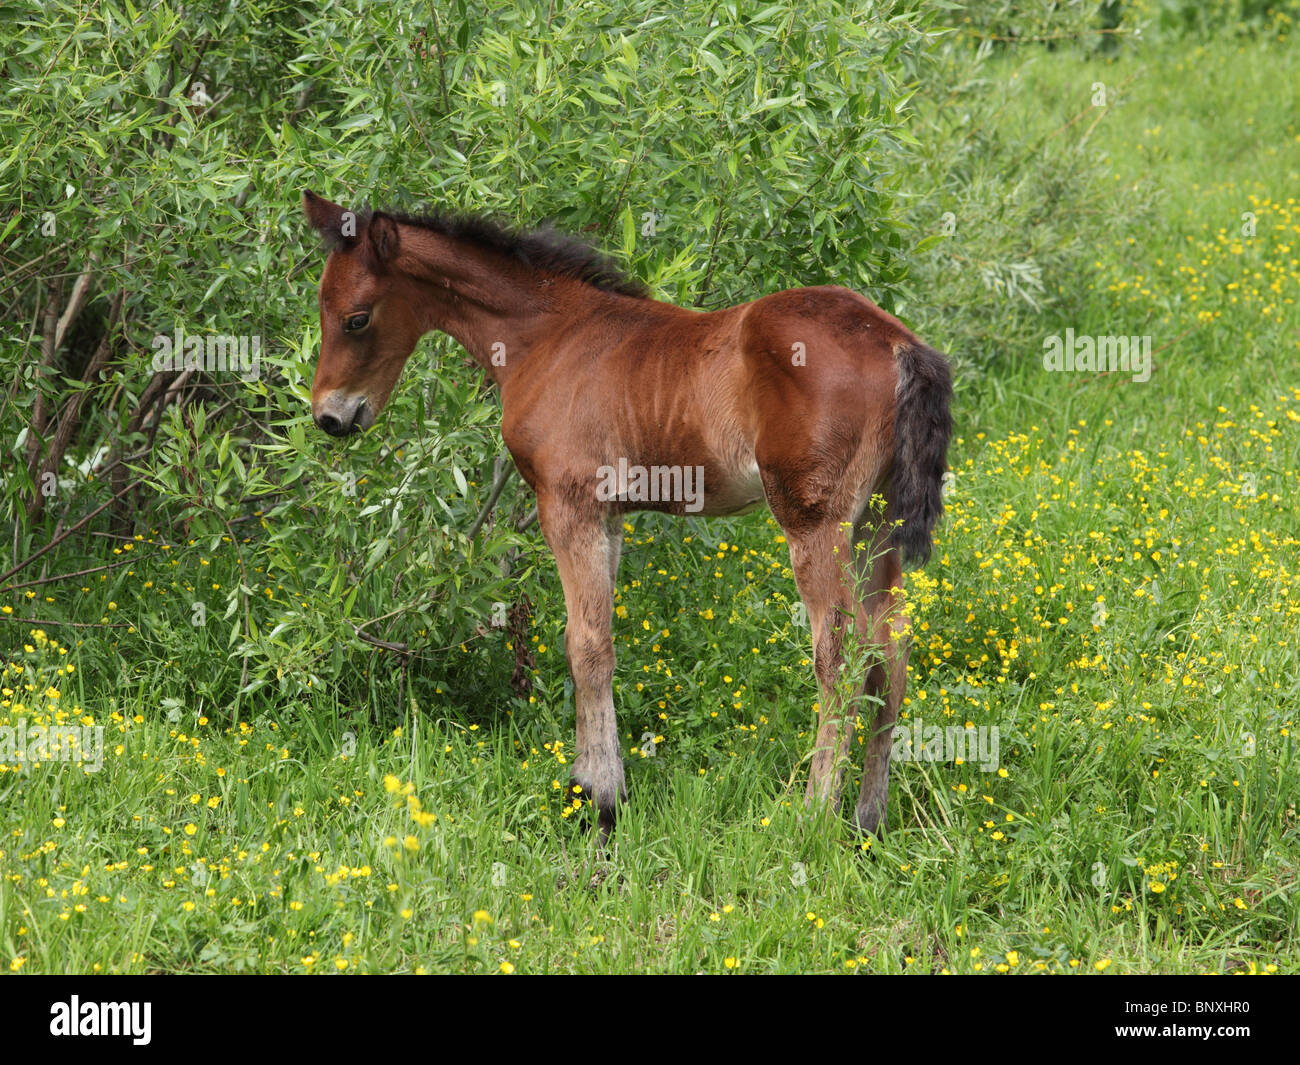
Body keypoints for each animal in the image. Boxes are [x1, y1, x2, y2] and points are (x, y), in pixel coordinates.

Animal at [302, 190, 952, 840]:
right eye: (322, 305)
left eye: (357, 318)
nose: (330, 417)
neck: (548, 337)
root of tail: (897, 344)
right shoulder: (609, 515)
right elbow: (598, 636)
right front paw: (593, 783)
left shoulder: (569, 505)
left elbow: (586, 644)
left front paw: (601, 800)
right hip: (876, 526)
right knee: (893, 648)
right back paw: (869, 820)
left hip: (815, 522)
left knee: (841, 654)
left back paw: (812, 818)